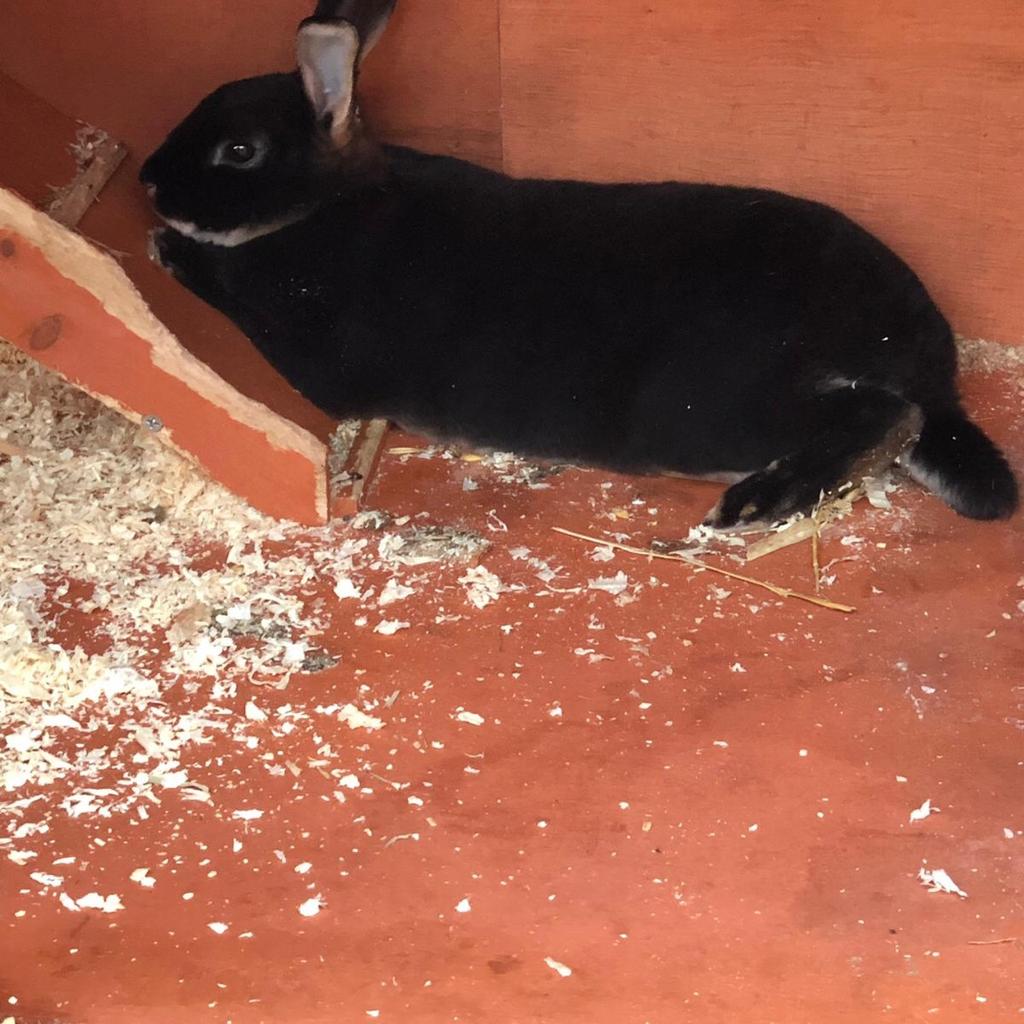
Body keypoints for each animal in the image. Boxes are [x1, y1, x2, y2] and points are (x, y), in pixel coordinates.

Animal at [140, 0, 1018, 527]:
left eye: (239, 151)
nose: (147, 178)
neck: (329, 204)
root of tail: (922, 360)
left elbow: (223, 285)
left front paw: (170, 246)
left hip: (721, 405)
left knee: (885, 420)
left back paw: (758, 500)